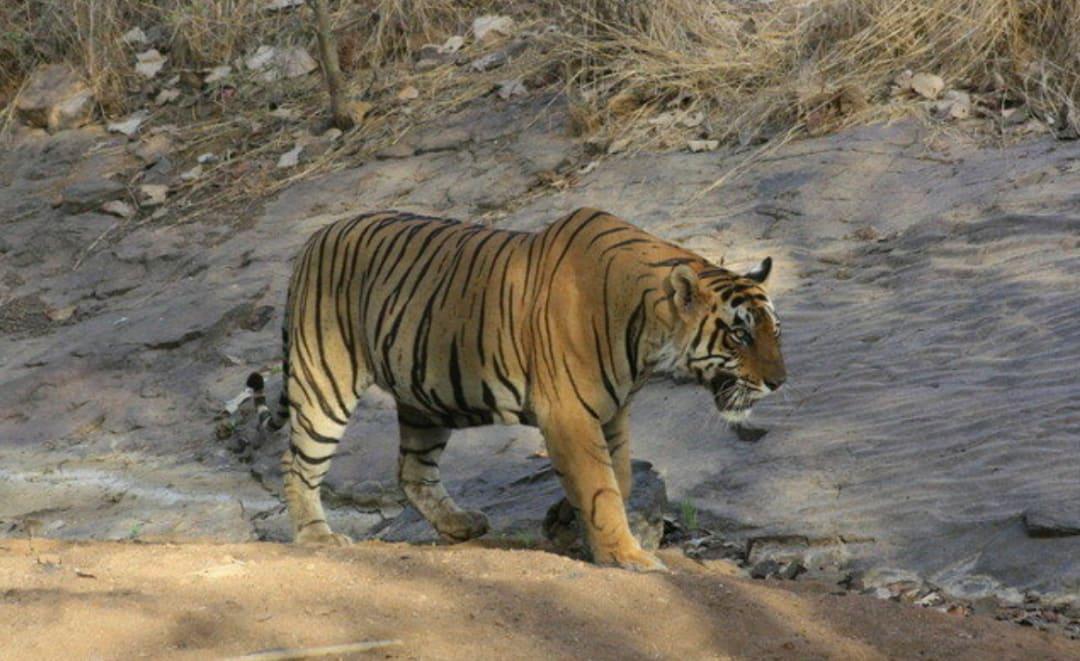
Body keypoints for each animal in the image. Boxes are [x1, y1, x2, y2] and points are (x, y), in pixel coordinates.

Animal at [247, 207, 785, 571]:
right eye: (739, 335)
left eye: (773, 331)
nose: (779, 382)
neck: (647, 337)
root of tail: (315, 237)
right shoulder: (569, 412)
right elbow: (601, 484)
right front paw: (627, 555)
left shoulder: (612, 412)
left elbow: (618, 477)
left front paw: (566, 523)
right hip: (326, 380)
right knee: (297, 463)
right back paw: (318, 538)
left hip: (424, 393)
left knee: (411, 469)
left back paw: (459, 524)